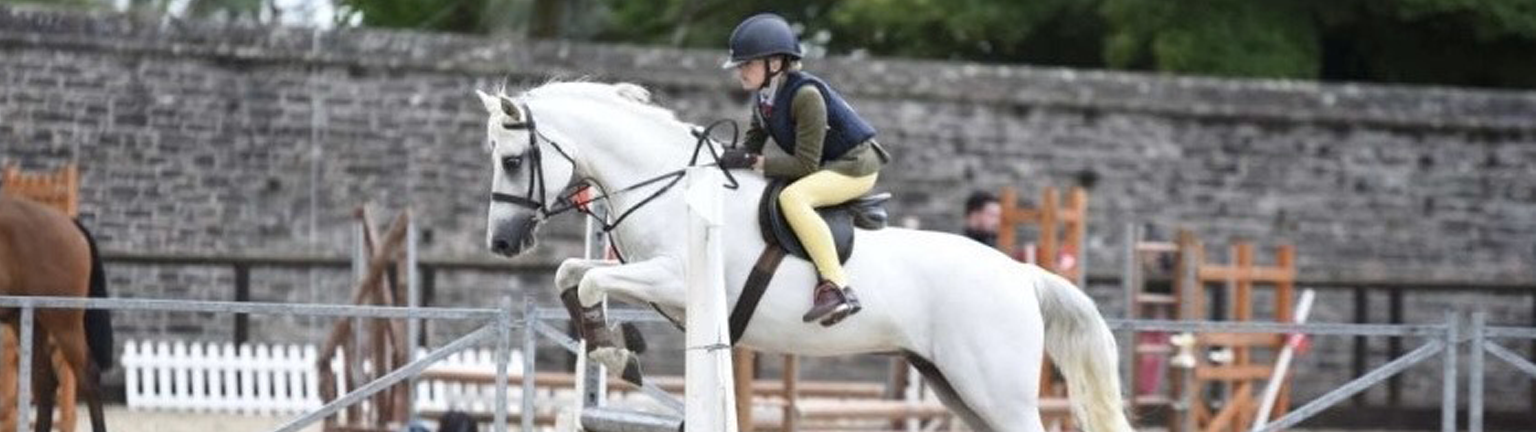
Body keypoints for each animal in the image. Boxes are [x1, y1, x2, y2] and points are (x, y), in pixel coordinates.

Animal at [473, 82, 1134, 432]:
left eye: (513, 160)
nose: (502, 244)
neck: (669, 184)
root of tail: (1022, 274)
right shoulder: (641, 275)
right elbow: (575, 274)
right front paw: (616, 347)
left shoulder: (678, 282)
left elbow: (587, 283)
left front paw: (616, 352)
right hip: (957, 387)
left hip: (997, 389)